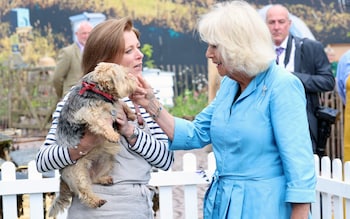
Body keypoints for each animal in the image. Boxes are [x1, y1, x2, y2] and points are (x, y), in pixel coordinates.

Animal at [49, 62, 137, 216]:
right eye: (125, 76)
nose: (135, 82)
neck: (98, 90)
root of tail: (61, 177)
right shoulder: (89, 113)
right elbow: (101, 122)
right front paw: (112, 134)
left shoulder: (114, 105)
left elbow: (121, 103)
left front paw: (131, 114)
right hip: (78, 173)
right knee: (84, 191)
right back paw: (96, 201)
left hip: (107, 161)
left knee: (94, 179)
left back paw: (104, 179)